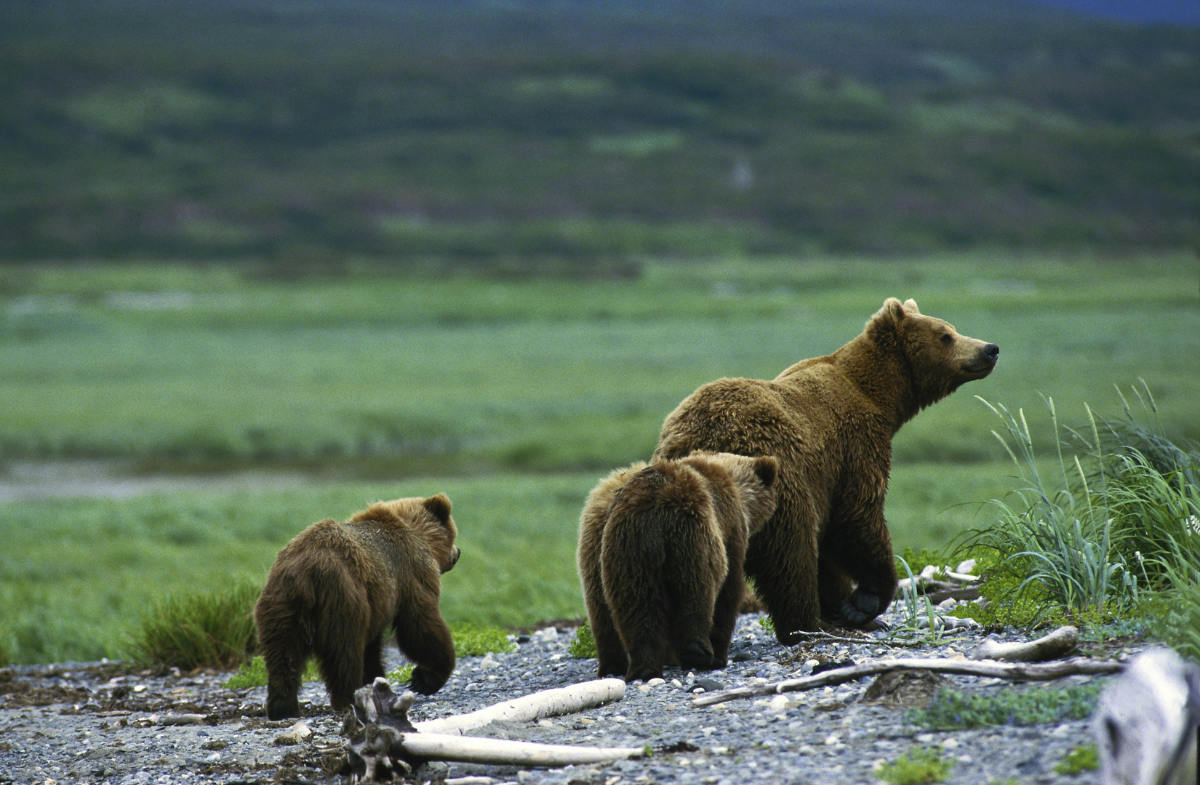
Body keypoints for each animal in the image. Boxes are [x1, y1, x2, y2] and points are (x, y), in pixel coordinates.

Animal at [254, 494, 460, 719]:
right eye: (453, 533)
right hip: (343, 599)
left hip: (280, 606)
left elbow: (373, 649)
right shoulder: (410, 574)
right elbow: (420, 625)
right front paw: (425, 678)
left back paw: (283, 707)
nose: (458, 552)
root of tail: (305, 571)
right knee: (344, 654)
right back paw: (348, 699)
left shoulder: (378, 603)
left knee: (282, 655)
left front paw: (379, 682)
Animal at [577, 451, 779, 681]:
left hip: (627, 552)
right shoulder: (730, 530)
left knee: (632, 606)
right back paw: (698, 654)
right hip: (691, 537)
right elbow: (728, 593)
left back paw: (634, 667)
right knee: (695, 595)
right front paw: (720, 654)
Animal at [654, 297, 998, 641]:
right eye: (945, 336)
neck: (879, 395)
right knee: (792, 554)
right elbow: (857, 517)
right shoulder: (854, 448)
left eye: (952, 328)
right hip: (778, 478)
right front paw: (864, 601)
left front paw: (850, 607)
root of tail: (696, 439)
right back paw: (810, 625)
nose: (990, 348)